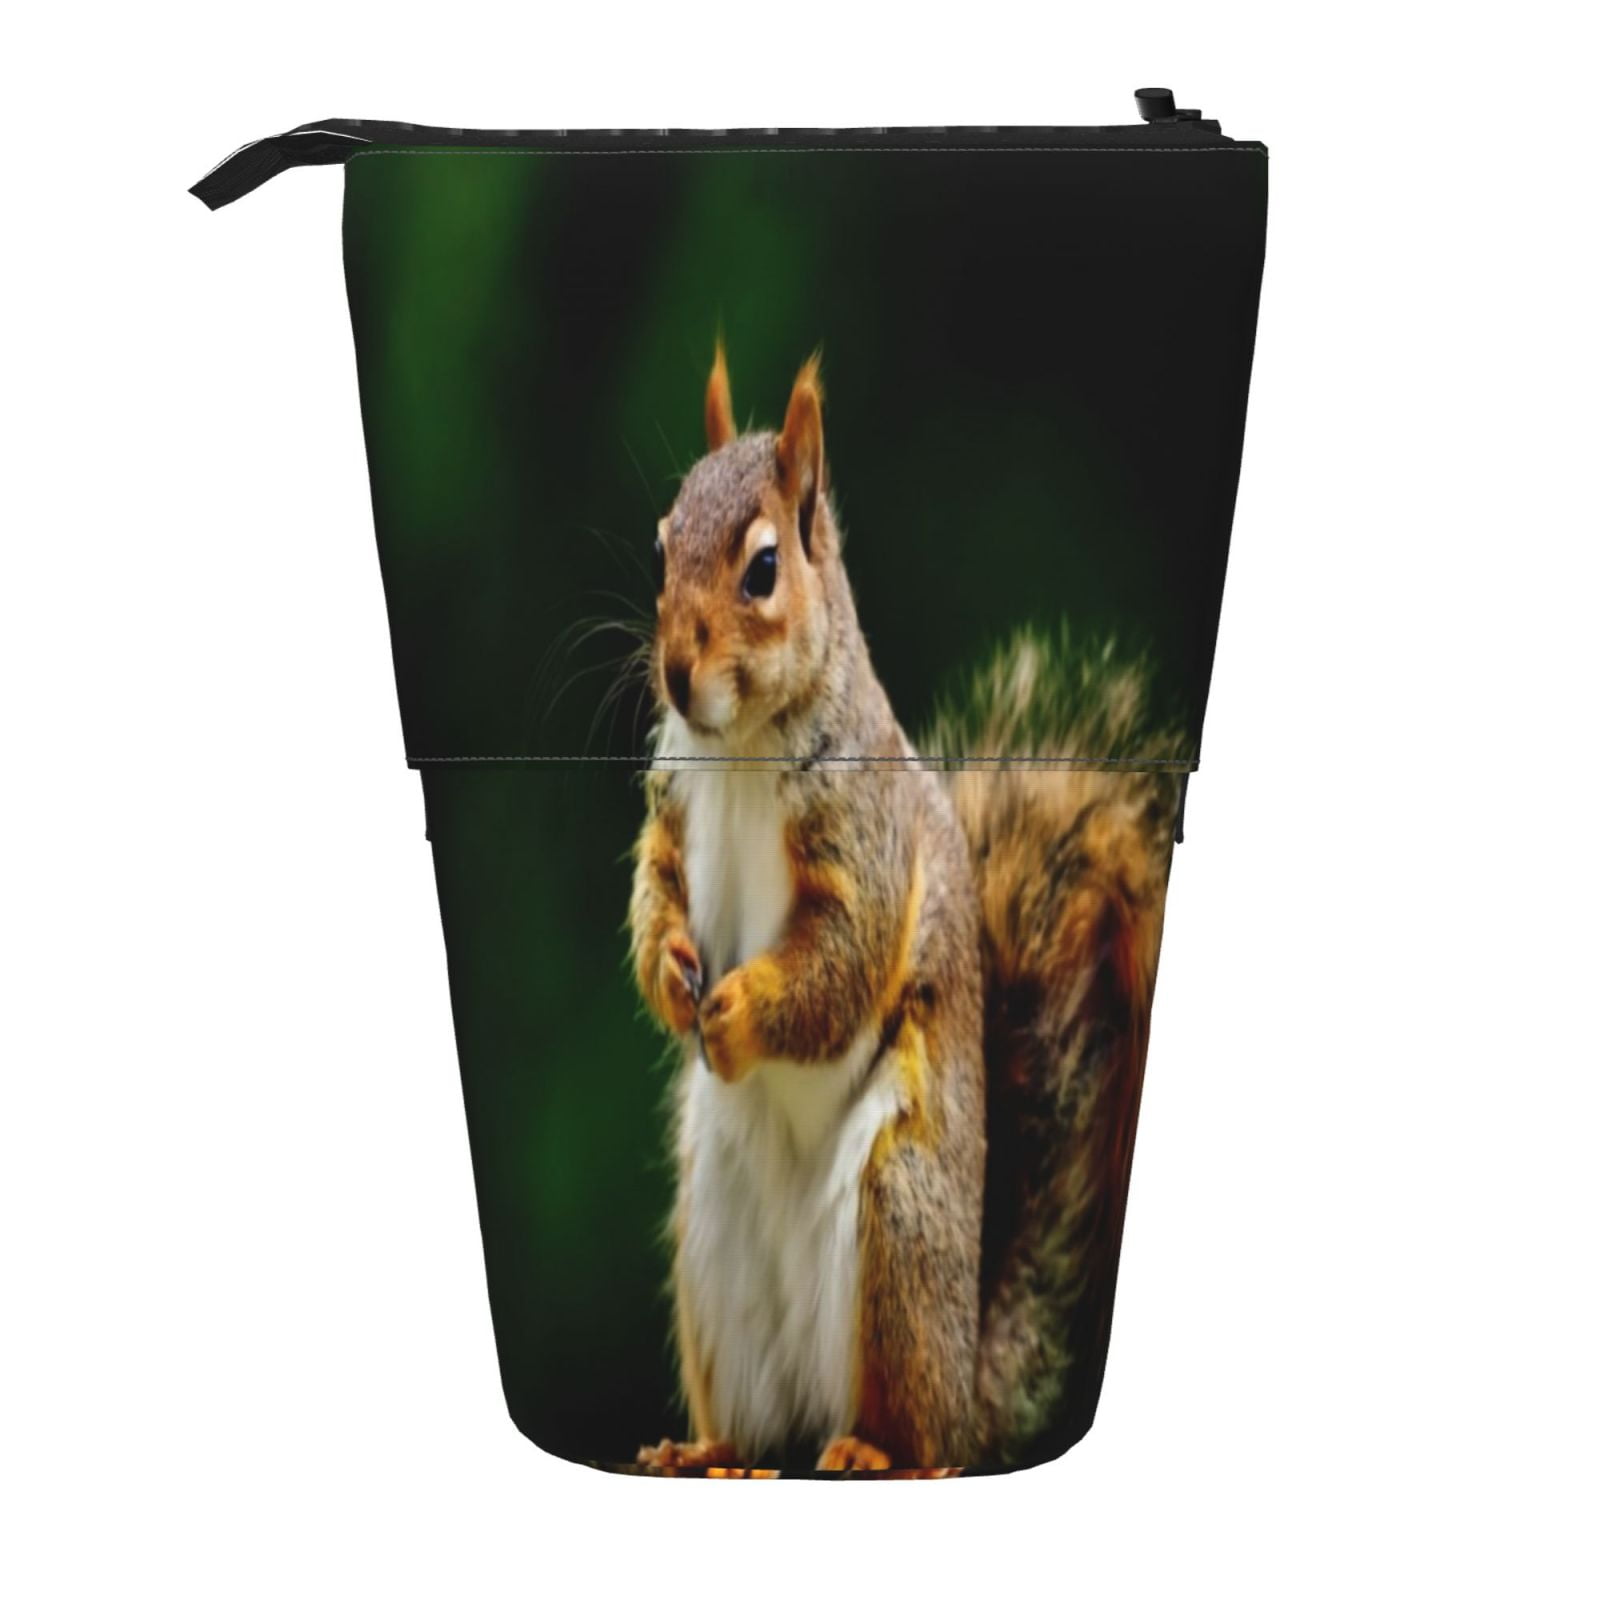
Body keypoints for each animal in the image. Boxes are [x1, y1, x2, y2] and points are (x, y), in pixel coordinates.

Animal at [629, 346, 1182, 1474]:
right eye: (659, 546)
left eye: (762, 569)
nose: (675, 672)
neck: (739, 745)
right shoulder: (673, 808)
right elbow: (655, 892)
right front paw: (671, 974)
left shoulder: (868, 848)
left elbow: (841, 963)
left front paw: (737, 1013)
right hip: (713, 1239)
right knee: (758, 1417)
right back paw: (707, 1450)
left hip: (902, 1213)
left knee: (916, 1429)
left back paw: (879, 1449)